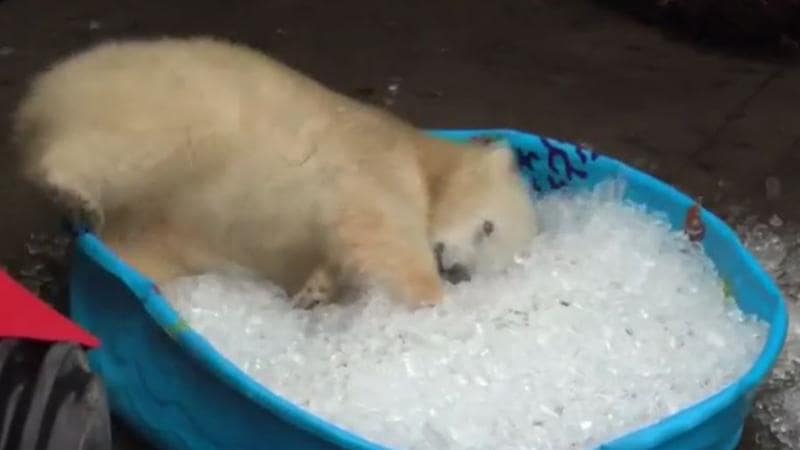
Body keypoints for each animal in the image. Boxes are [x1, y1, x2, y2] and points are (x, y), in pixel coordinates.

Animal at [13, 36, 539, 308]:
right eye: (489, 226)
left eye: (497, 262)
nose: (459, 275)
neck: (422, 155)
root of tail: (45, 87)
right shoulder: (376, 161)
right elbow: (377, 223)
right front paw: (430, 297)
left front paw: (316, 291)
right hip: (171, 108)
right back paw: (72, 192)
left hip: (163, 236)